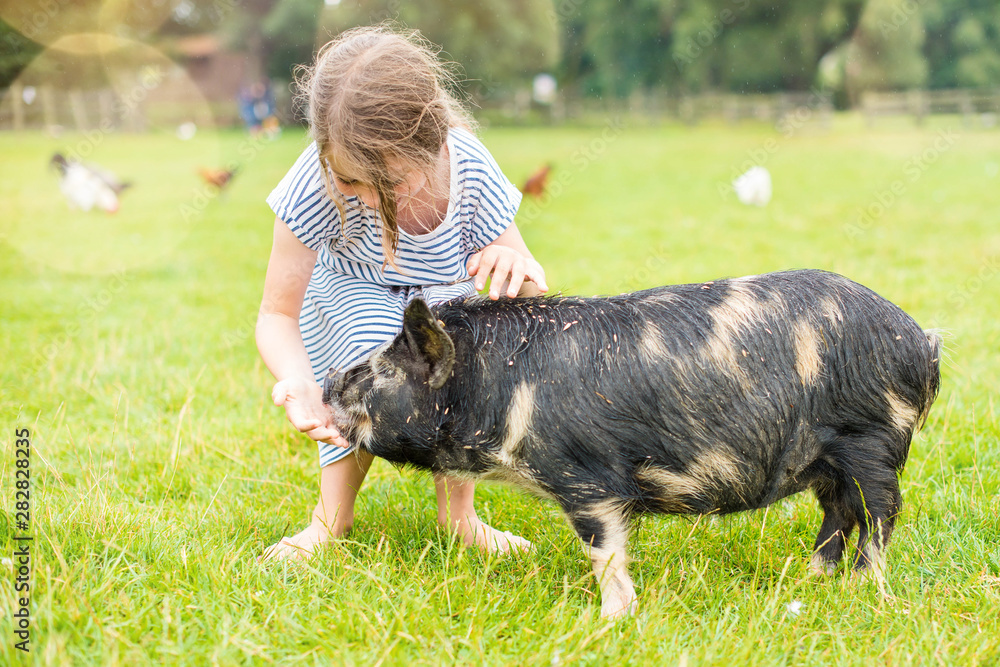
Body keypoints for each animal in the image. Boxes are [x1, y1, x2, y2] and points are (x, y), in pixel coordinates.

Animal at [322, 269, 941, 618]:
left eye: (376, 371)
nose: (328, 381)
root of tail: (922, 340)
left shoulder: (586, 478)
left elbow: (605, 551)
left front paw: (610, 620)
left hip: (871, 439)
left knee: (881, 513)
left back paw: (865, 590)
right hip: (827, 459)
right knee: (838, 512)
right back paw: (811, 580)